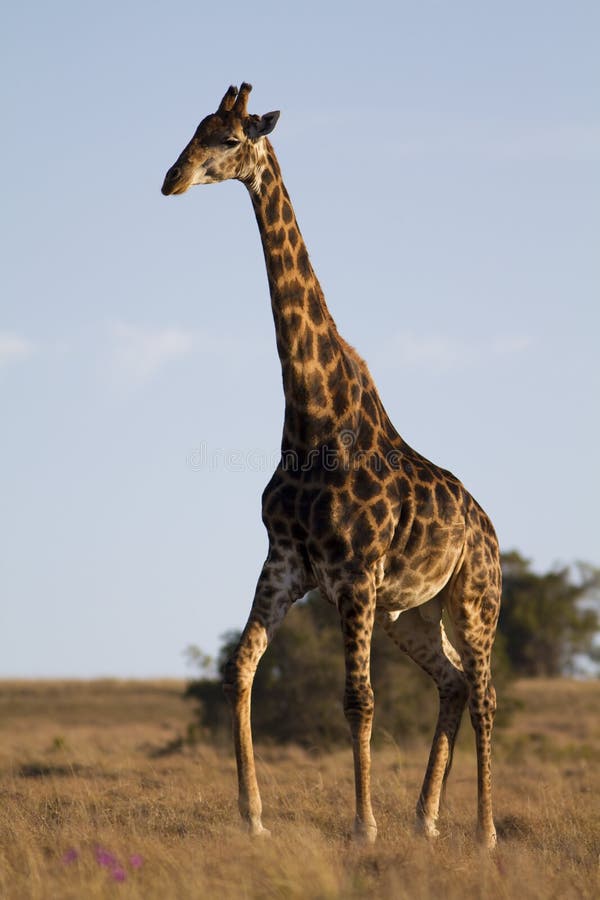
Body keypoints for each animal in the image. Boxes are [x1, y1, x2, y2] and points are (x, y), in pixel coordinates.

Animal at [161, 83, 502, 849]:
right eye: (195, 129)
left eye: (231, 138)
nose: (171, 179)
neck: (311, 413)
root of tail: (490, 528)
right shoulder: (288, 564)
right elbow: (241, 669)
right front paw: (253, 816)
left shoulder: (354, 574)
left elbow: (358, 699)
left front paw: (362, 826)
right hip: (411, 612)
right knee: (452, 683)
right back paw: (426, 819)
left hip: (474, 598)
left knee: (485, 692)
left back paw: (484, 831)